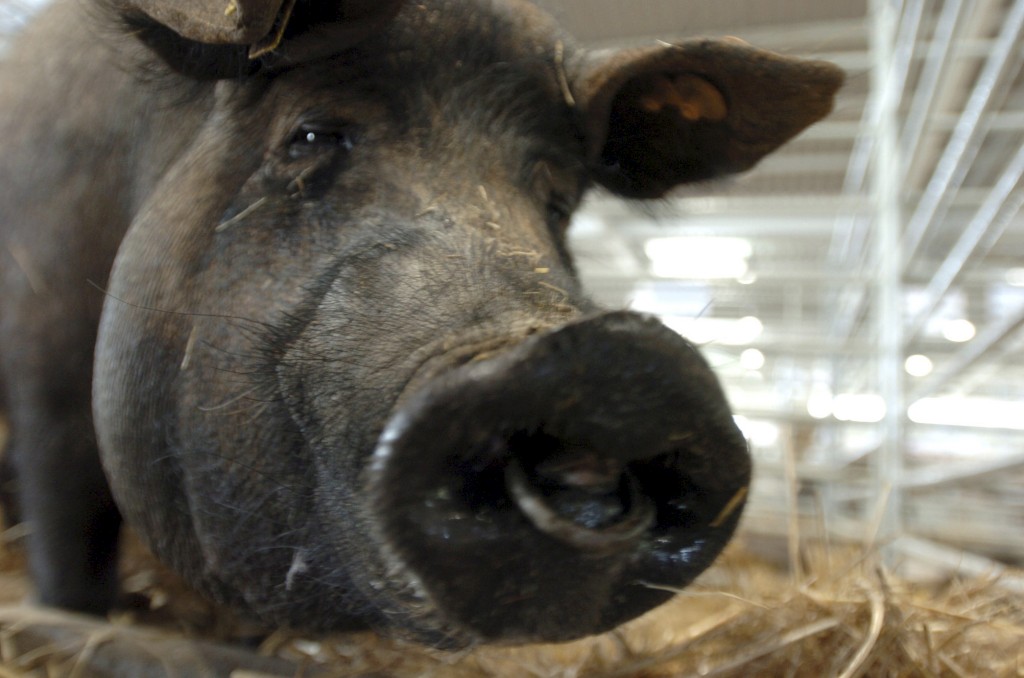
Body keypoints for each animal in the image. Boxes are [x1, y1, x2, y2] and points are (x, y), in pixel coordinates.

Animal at [0, 0, 842, 648]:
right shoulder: (44, 366)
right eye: (312, 135)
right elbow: (67, 520)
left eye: (559, 200)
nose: (620, 361)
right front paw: (82, 616)